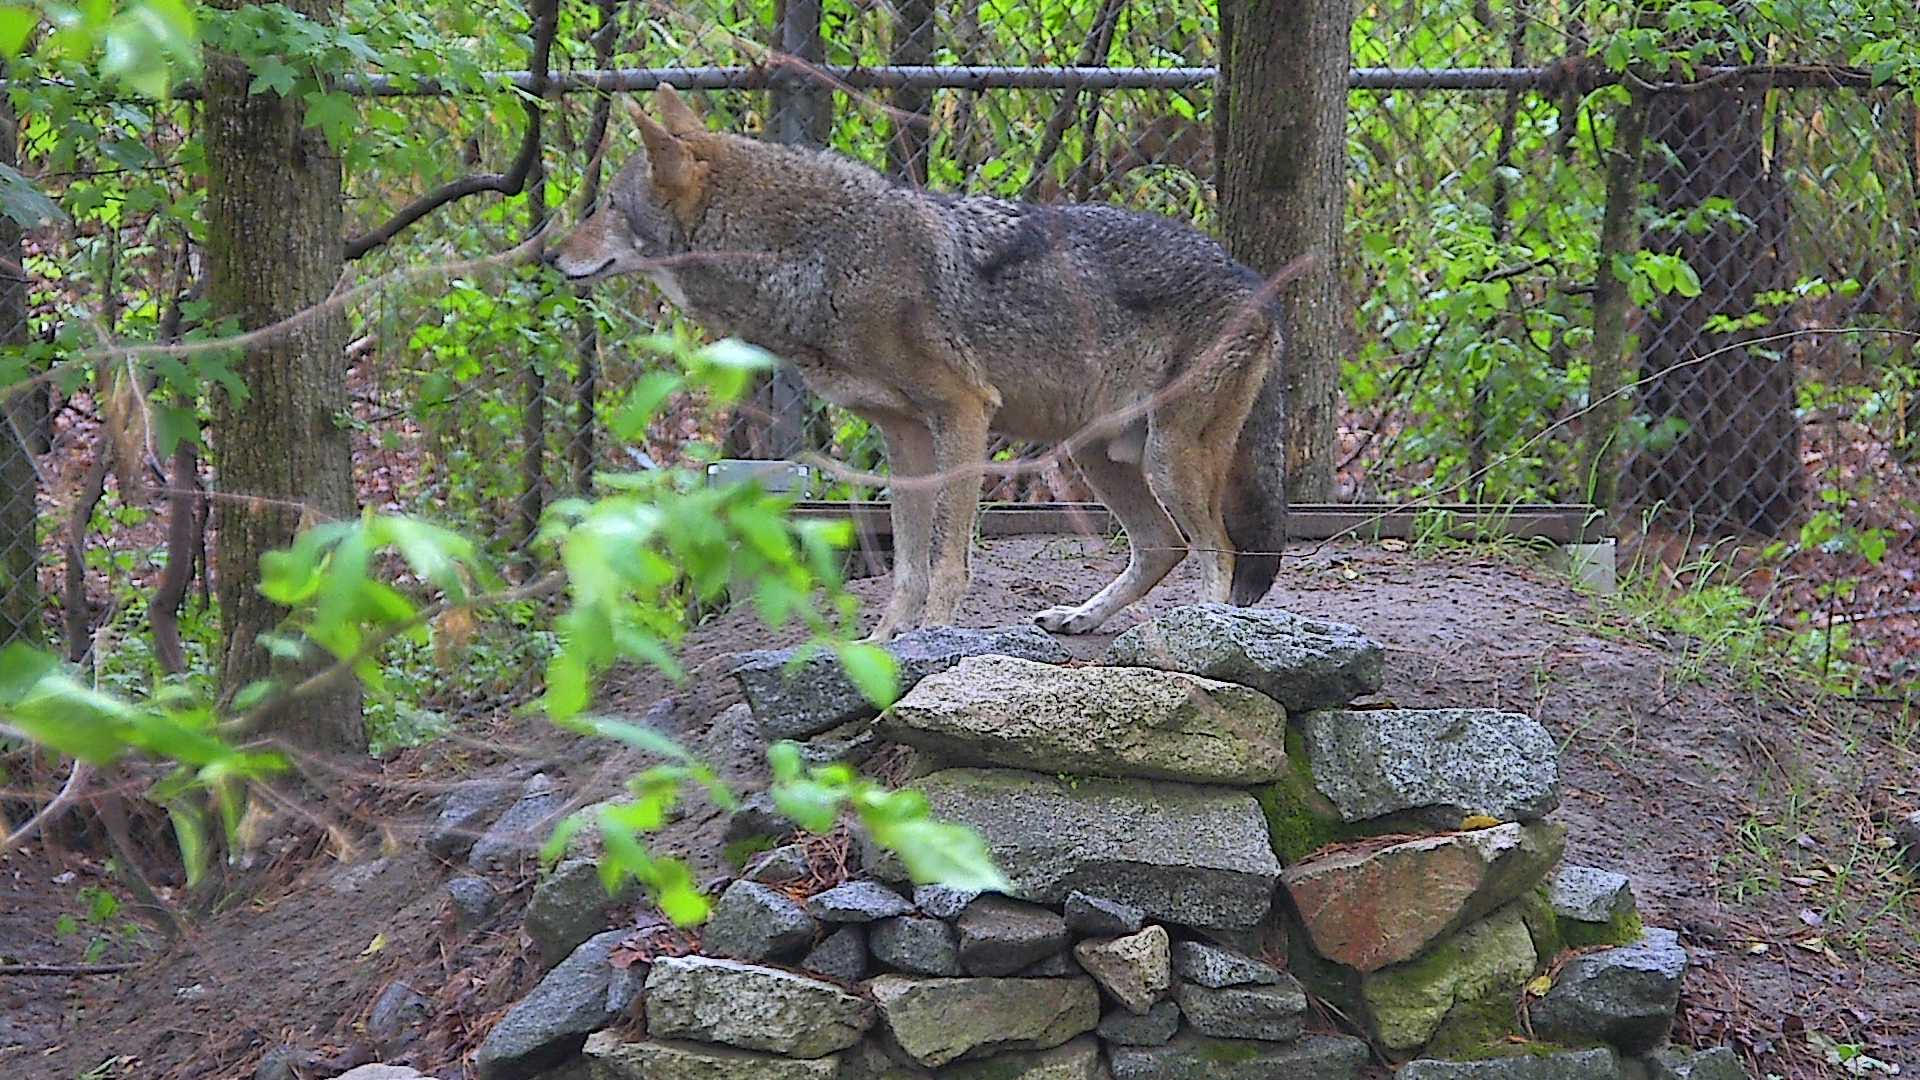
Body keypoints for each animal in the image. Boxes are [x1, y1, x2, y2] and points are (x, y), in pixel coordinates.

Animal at [545, 85, 1288, 640]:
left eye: (606, 205)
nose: (551, 256)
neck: (817, 254)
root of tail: (1257, 282)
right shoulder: (901, 435)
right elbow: (906, 564)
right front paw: (884, 642)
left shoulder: (962, 413)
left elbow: (948, 555)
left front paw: (934, 634)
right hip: (1094, 455)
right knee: (1162, 546)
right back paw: (1080, 618)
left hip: (1166, 457)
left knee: (1217, 551)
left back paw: (1207, 632)